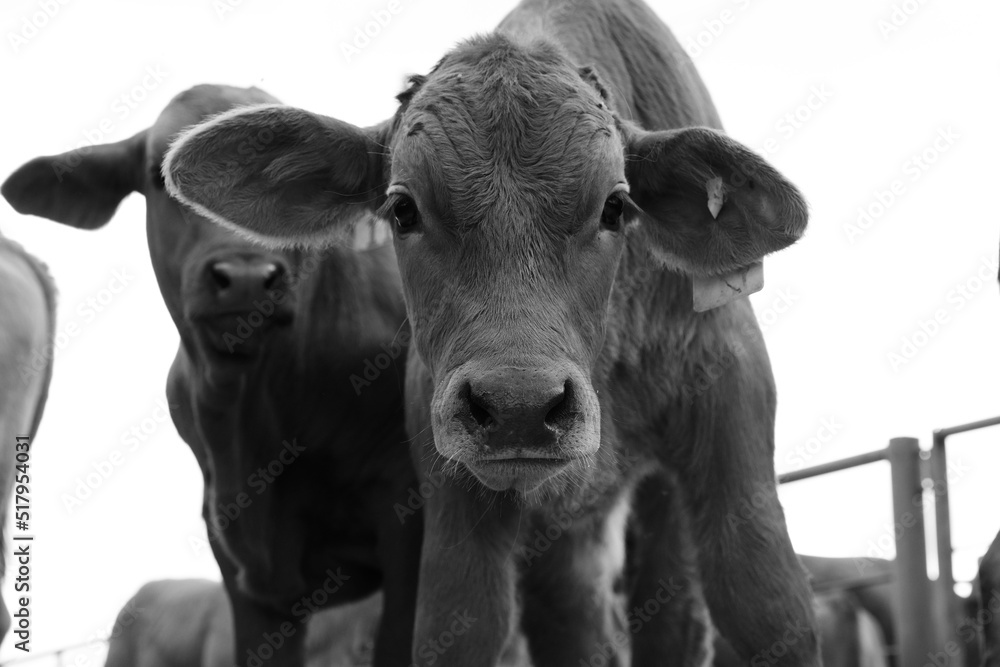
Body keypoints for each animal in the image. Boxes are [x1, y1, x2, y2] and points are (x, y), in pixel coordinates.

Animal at [164, 0, 817, 663]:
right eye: (403, 209)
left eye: (615, 206)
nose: (518, 406)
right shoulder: (450, 492)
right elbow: (461, 623)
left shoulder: (732, 411)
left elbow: (766, 606)